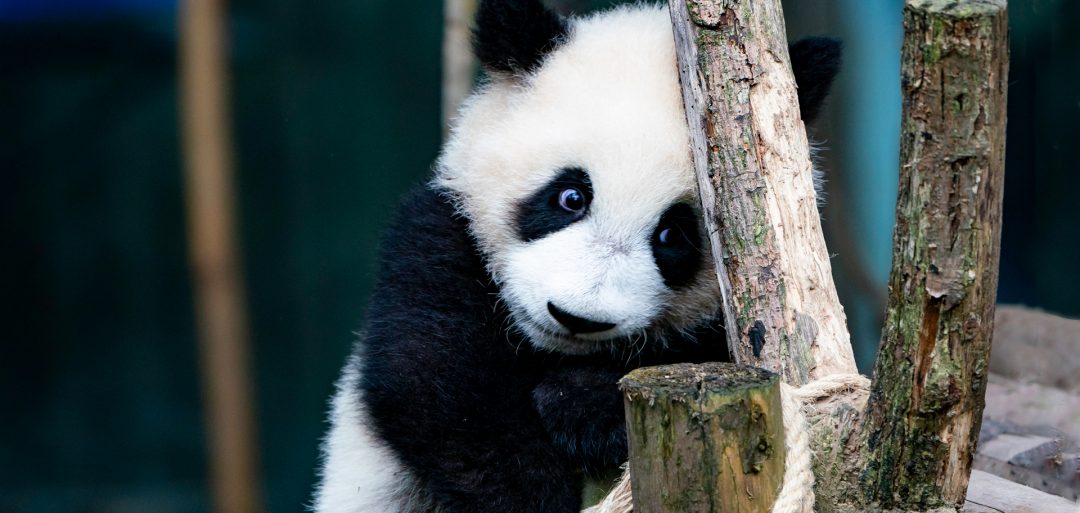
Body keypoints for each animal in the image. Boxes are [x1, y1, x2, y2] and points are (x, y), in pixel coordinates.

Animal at [312, 1, 841, 512]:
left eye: (672, 235)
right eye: (571, 197)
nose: (577, 317)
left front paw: (584, 405)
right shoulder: (437, 239)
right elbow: (435, 379)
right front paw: (538, 486)